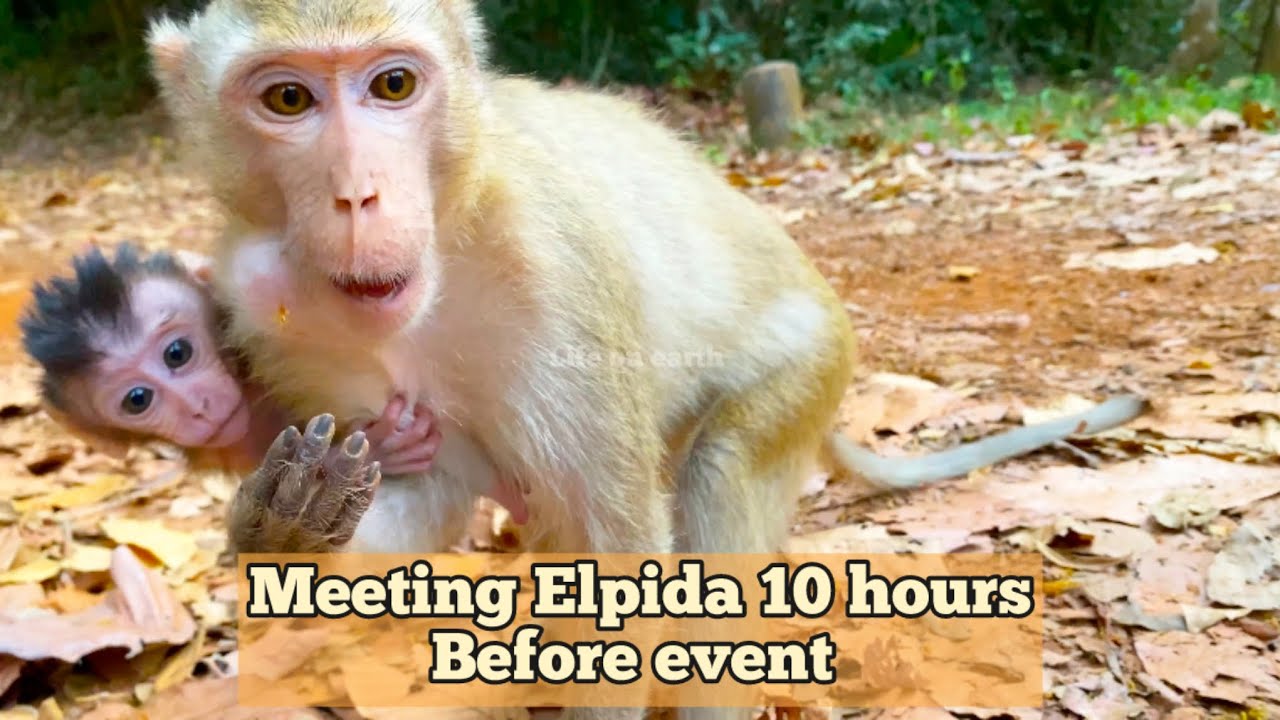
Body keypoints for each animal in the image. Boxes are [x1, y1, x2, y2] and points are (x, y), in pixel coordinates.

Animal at [144, 3, 1146, 717]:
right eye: (288, 100)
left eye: (393, 84)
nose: (358, 195)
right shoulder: (266, 310)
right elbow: (424, 498)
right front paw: (288, 530)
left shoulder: (558, 270)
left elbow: (615, 564)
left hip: (806, 371)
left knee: (721, 473)